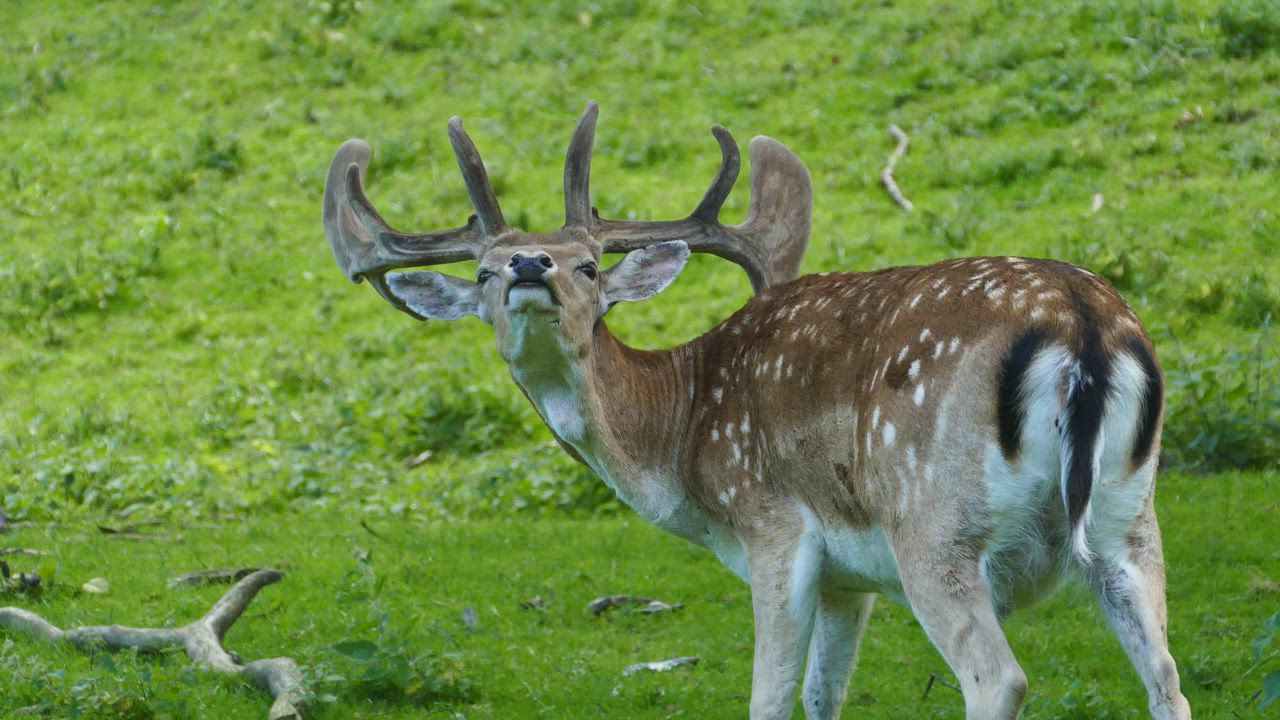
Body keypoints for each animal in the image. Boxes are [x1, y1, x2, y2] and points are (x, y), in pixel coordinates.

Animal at [322, 102, 1191, 720]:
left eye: (590, 263)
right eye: (485, 271)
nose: (531, 266)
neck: (681, 449)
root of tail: (1081, 325)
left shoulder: (773, 527)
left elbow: (769, 700)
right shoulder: (849, 576)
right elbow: (822, 696)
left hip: (933, 518)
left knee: (999, 680)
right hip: (1129, 518)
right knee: (1167, 678)